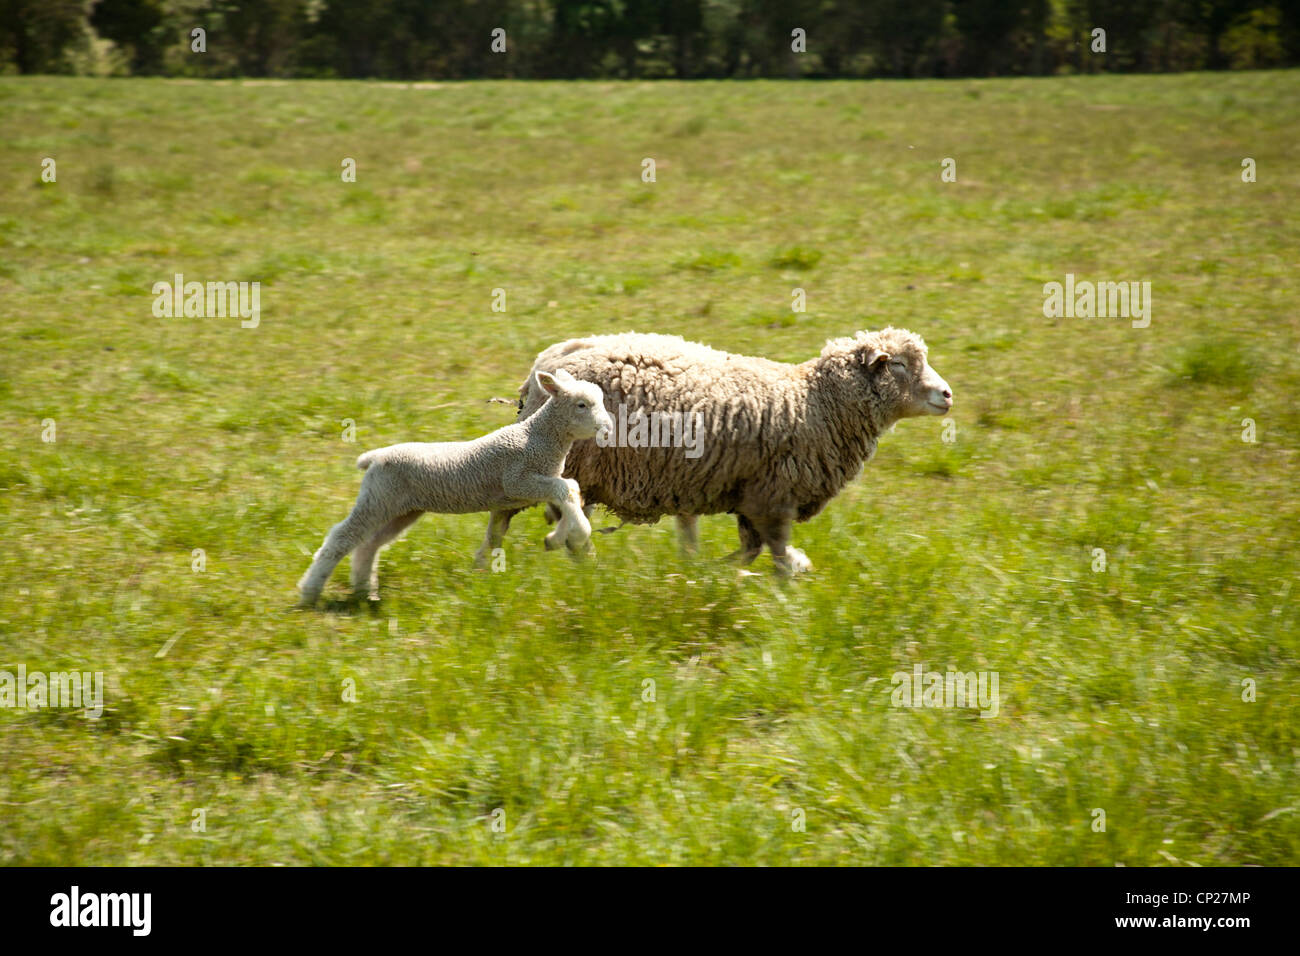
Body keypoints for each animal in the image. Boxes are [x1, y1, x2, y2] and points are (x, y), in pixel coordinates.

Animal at [298, 369, 613, 604]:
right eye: (582, 405)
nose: (608, 430)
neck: (537, 437)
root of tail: (374, 457)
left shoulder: (532, 485)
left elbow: (569, 489)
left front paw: (558, 537)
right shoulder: (518, 480)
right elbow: (564, 490)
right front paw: (578, 532)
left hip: (401, 508)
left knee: (369, 543)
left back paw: (365, 591)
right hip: (379, 497)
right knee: (342, 536)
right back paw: (310, 592)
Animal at [504, 327, 952, 574]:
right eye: (898, 364)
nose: (947, 395)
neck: (814, 402)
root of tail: (543, 366)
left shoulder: (753, 495)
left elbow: (751, 550)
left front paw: (709, 571)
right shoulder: (773, 496)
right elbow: (774, 554)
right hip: (576, 464)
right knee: (565, 524)